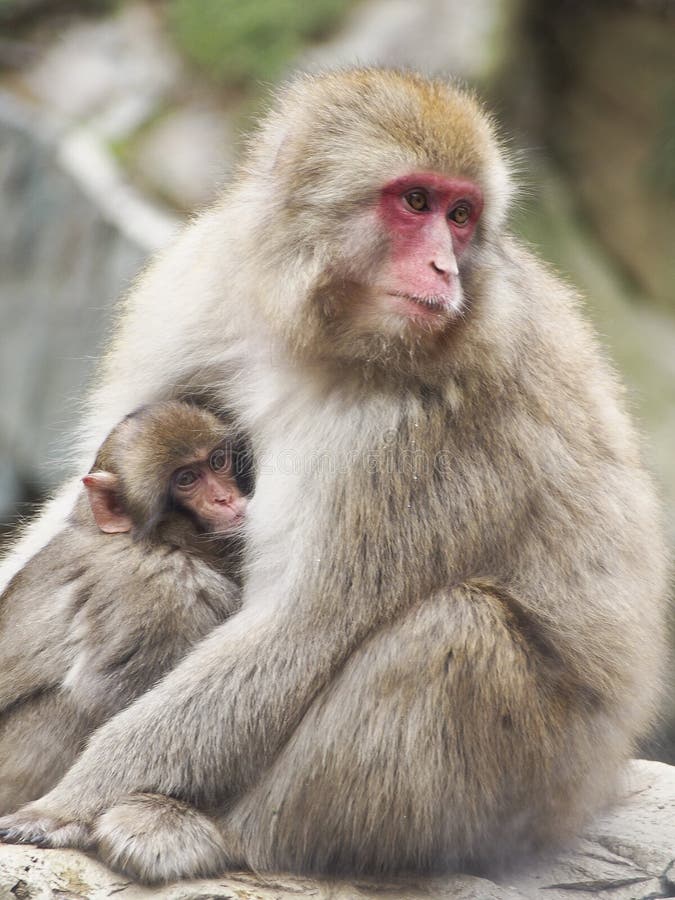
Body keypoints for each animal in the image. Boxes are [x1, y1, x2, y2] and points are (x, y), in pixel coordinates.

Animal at [0, 400, 246, 814]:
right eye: (186, 479)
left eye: (217, 461)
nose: (225, 499)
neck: (154, 542)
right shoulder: (158, 596)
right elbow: (102, 700)